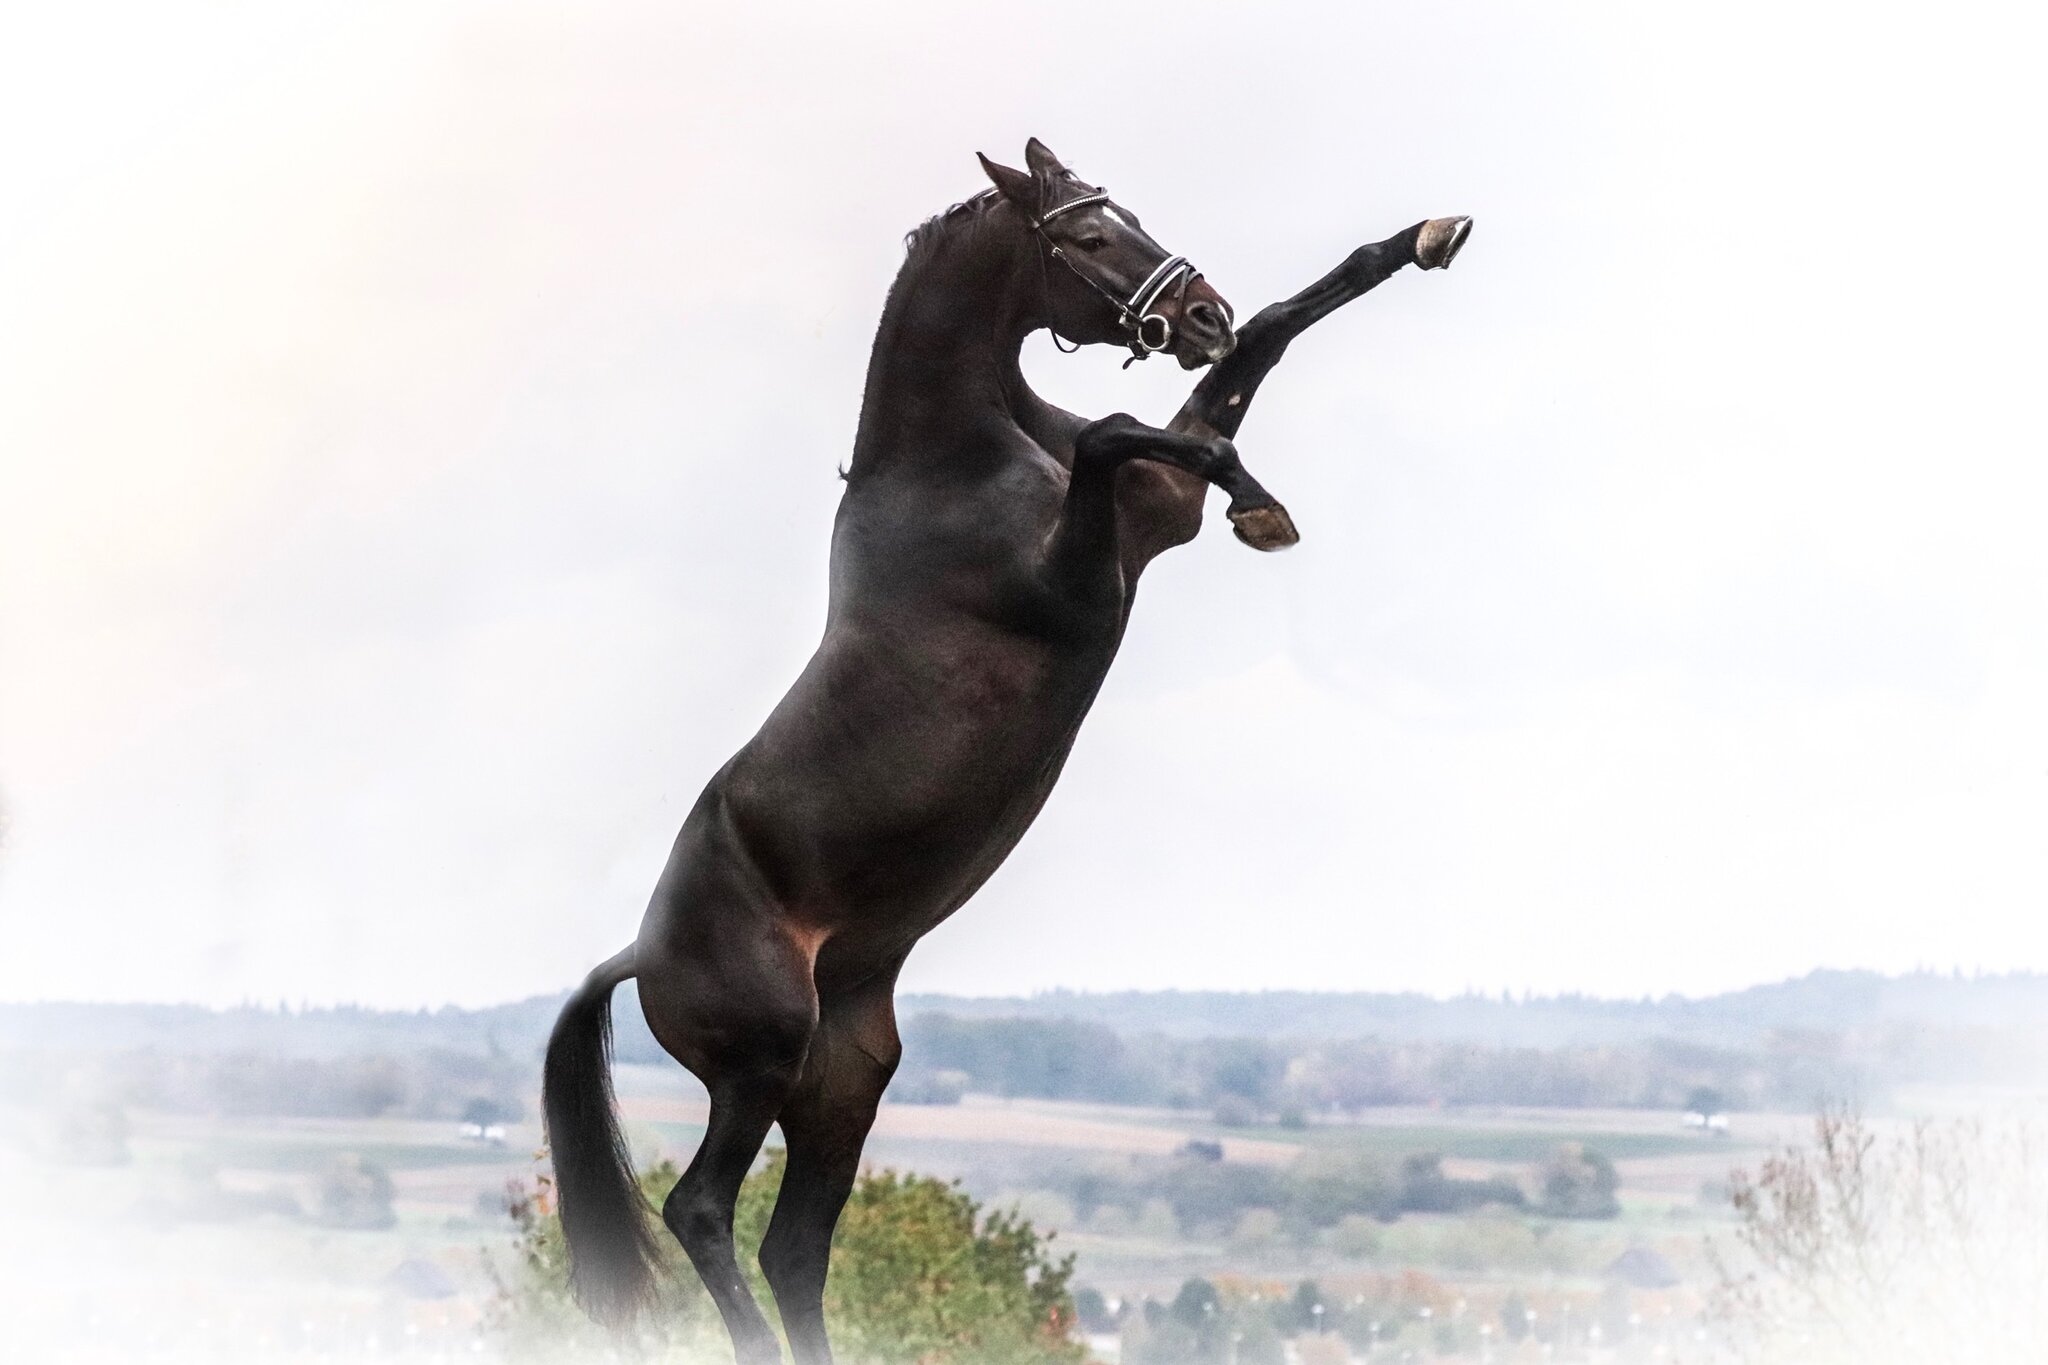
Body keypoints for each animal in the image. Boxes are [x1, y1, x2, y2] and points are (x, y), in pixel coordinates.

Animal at [542, 138, 1471, 1365]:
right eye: (1084, 236)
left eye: (1126, 212)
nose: (1199, 310)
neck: (964, 461)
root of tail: (636, 955)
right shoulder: (1077, 583)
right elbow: (1138, 423)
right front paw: (1263, 503)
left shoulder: (1154, 512)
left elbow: (1261, 347)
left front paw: (1423, 237)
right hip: (760, 1060)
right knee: (700, 1209)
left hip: (842, 1076)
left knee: (795, 1244)